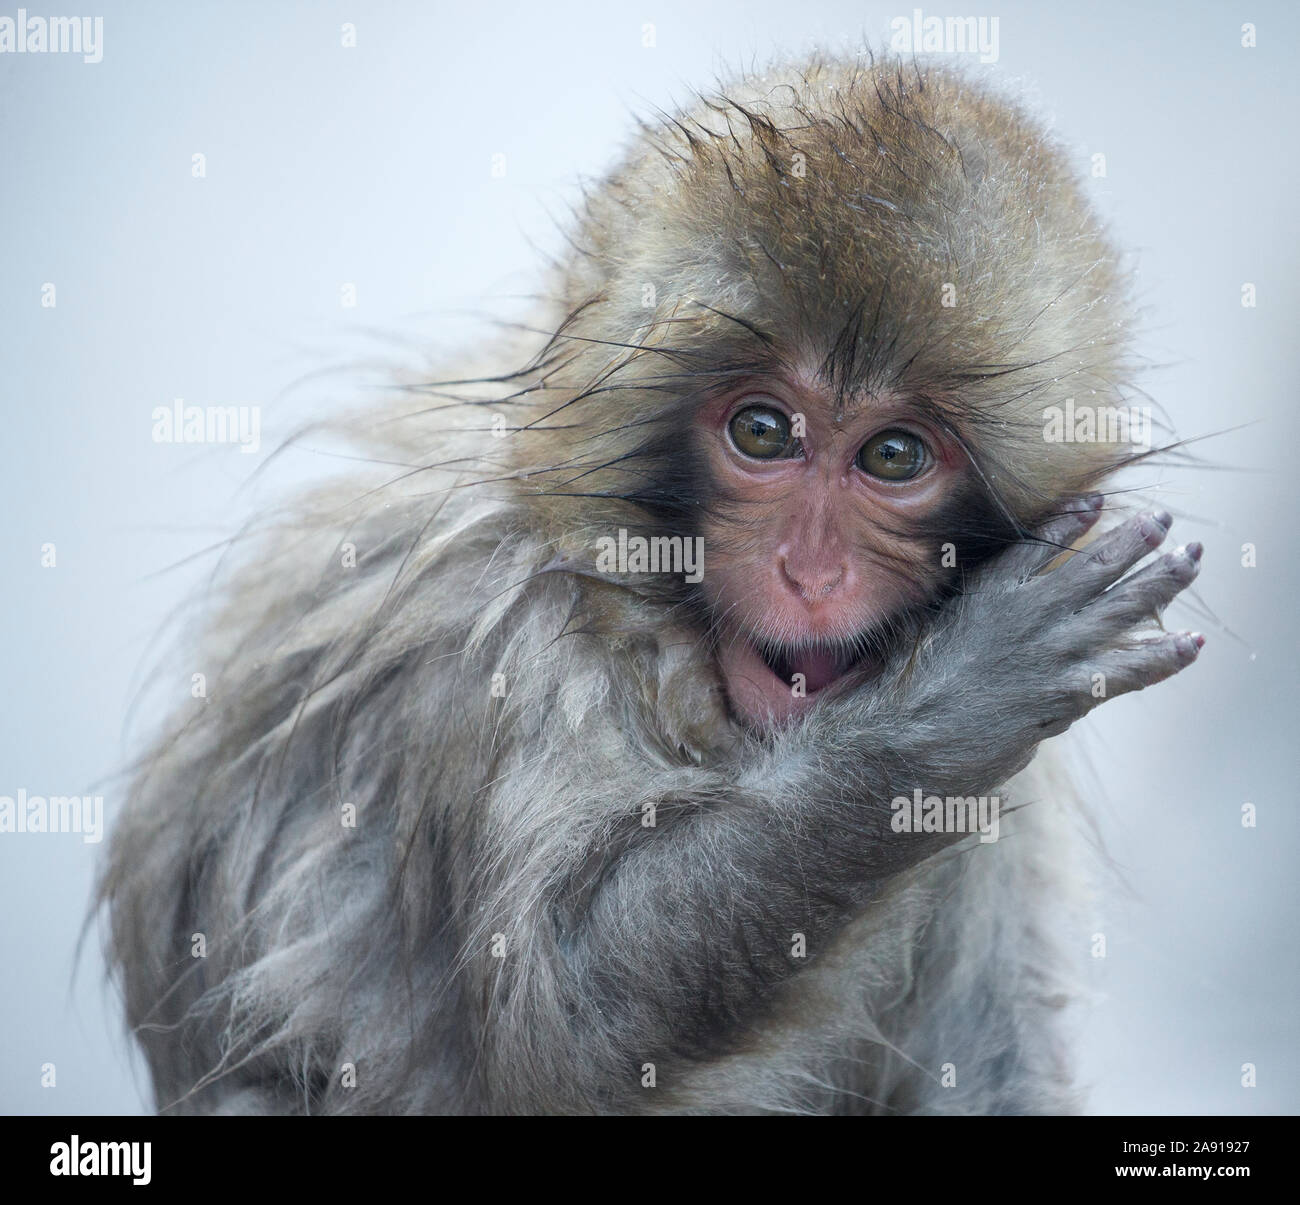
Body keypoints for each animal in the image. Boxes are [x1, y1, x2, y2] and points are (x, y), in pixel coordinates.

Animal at [99, 55, 1204, 1115]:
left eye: (893, 455)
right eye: (762, 430)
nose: (810, 571)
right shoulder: (507, 632)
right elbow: (555, 1022)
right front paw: (938, 718)